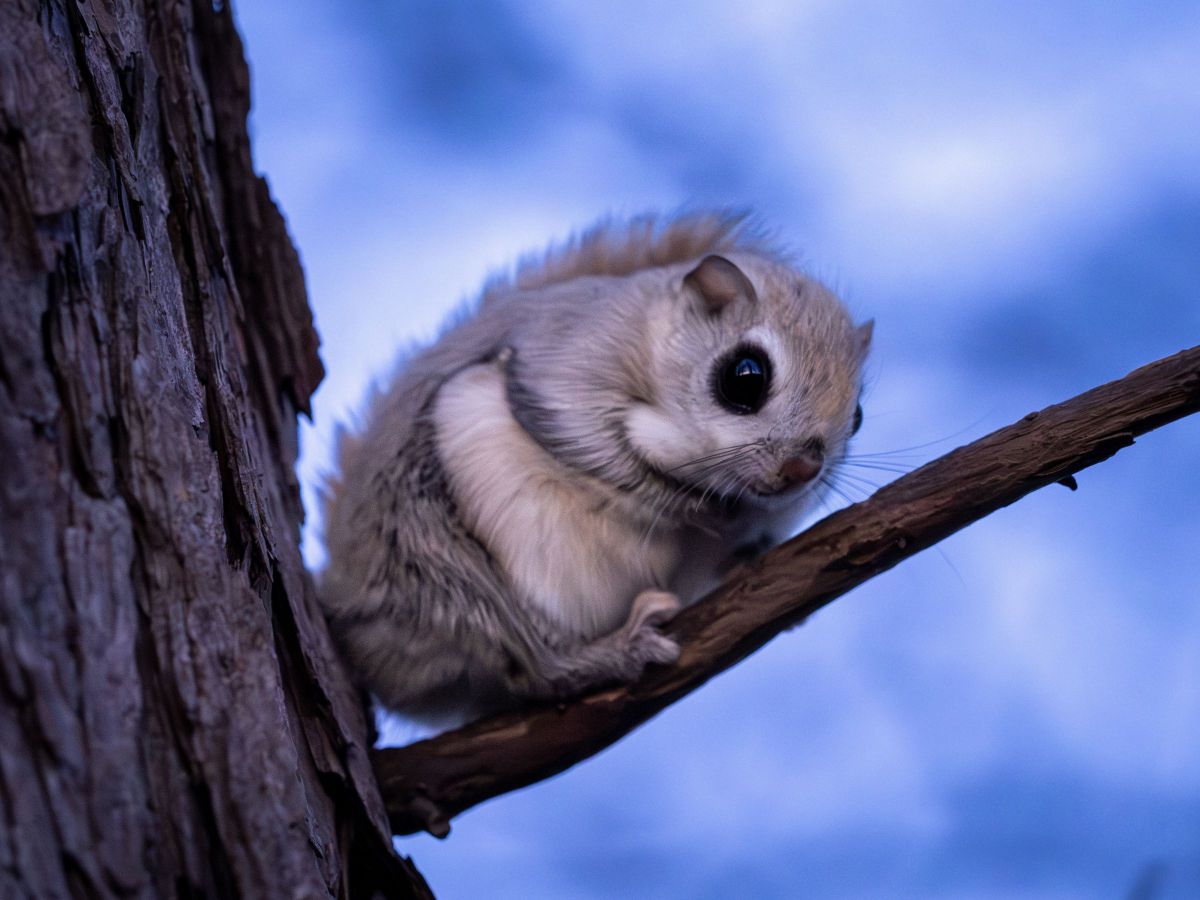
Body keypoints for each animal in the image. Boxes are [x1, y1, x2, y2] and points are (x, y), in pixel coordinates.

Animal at [318, 211, 872, 725]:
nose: (803, 469)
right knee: (524, 662)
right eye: (744, 377)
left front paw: (746, 547)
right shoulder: (570, 359)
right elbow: (588, 444)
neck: (651, 332)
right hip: (439, 555)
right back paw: (609, 655)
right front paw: (690, 505)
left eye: (858, 416)